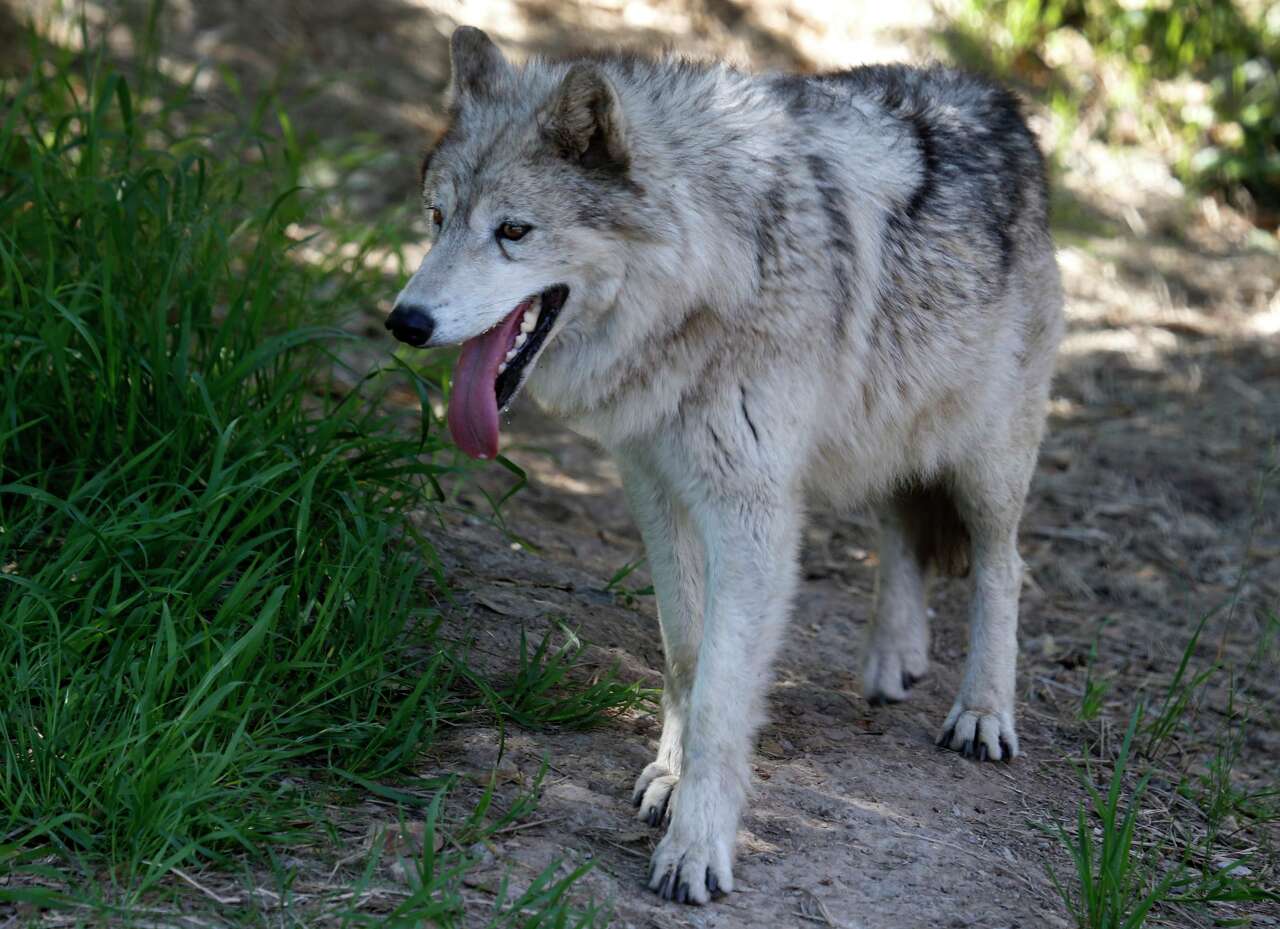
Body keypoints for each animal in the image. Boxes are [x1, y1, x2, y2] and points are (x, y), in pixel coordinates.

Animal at [386, 26, 1063, 906]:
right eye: (437, 219)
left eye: (514, 231)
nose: (405, 321)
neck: (714, 274)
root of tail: (994, 95)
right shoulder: (655, 487)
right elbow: (686, 654)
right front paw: (671, 781)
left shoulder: (752, 516)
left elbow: (719, 698)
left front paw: (695, 847)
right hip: (885, 427)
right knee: (899, 528)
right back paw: (892, 658)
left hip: (984, 462)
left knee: (1001, 568)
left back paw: (982, 711)